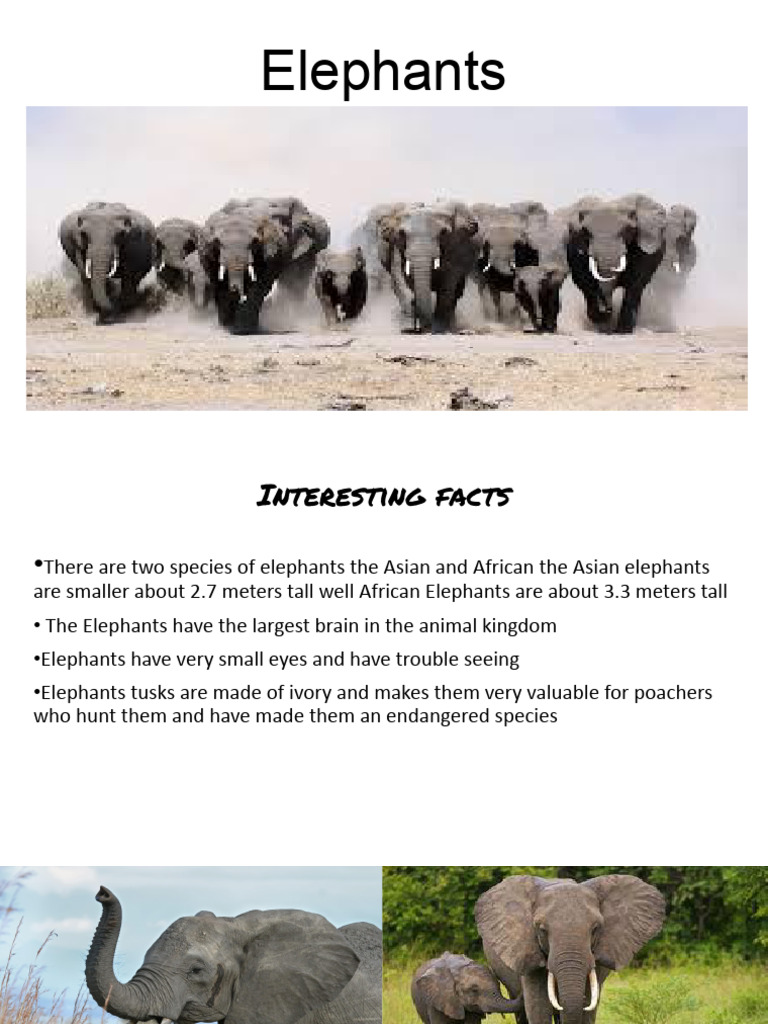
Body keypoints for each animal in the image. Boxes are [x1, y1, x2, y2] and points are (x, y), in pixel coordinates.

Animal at [374, 200, 479, 332]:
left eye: (444, 233)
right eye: (402, 233)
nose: (424, 329)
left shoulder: (457, 245)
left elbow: (448, 283)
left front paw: (439, 329)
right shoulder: (396, 246)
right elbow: (402, 276)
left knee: (457, 292)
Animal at [562, 194, 667, 333]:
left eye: (627, 230)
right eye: (586, 232)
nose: (607, 309)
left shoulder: (645, 249)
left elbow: (635, 284)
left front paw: (622, 331)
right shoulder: (576, 246)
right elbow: (584, 281)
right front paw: (602, 317)